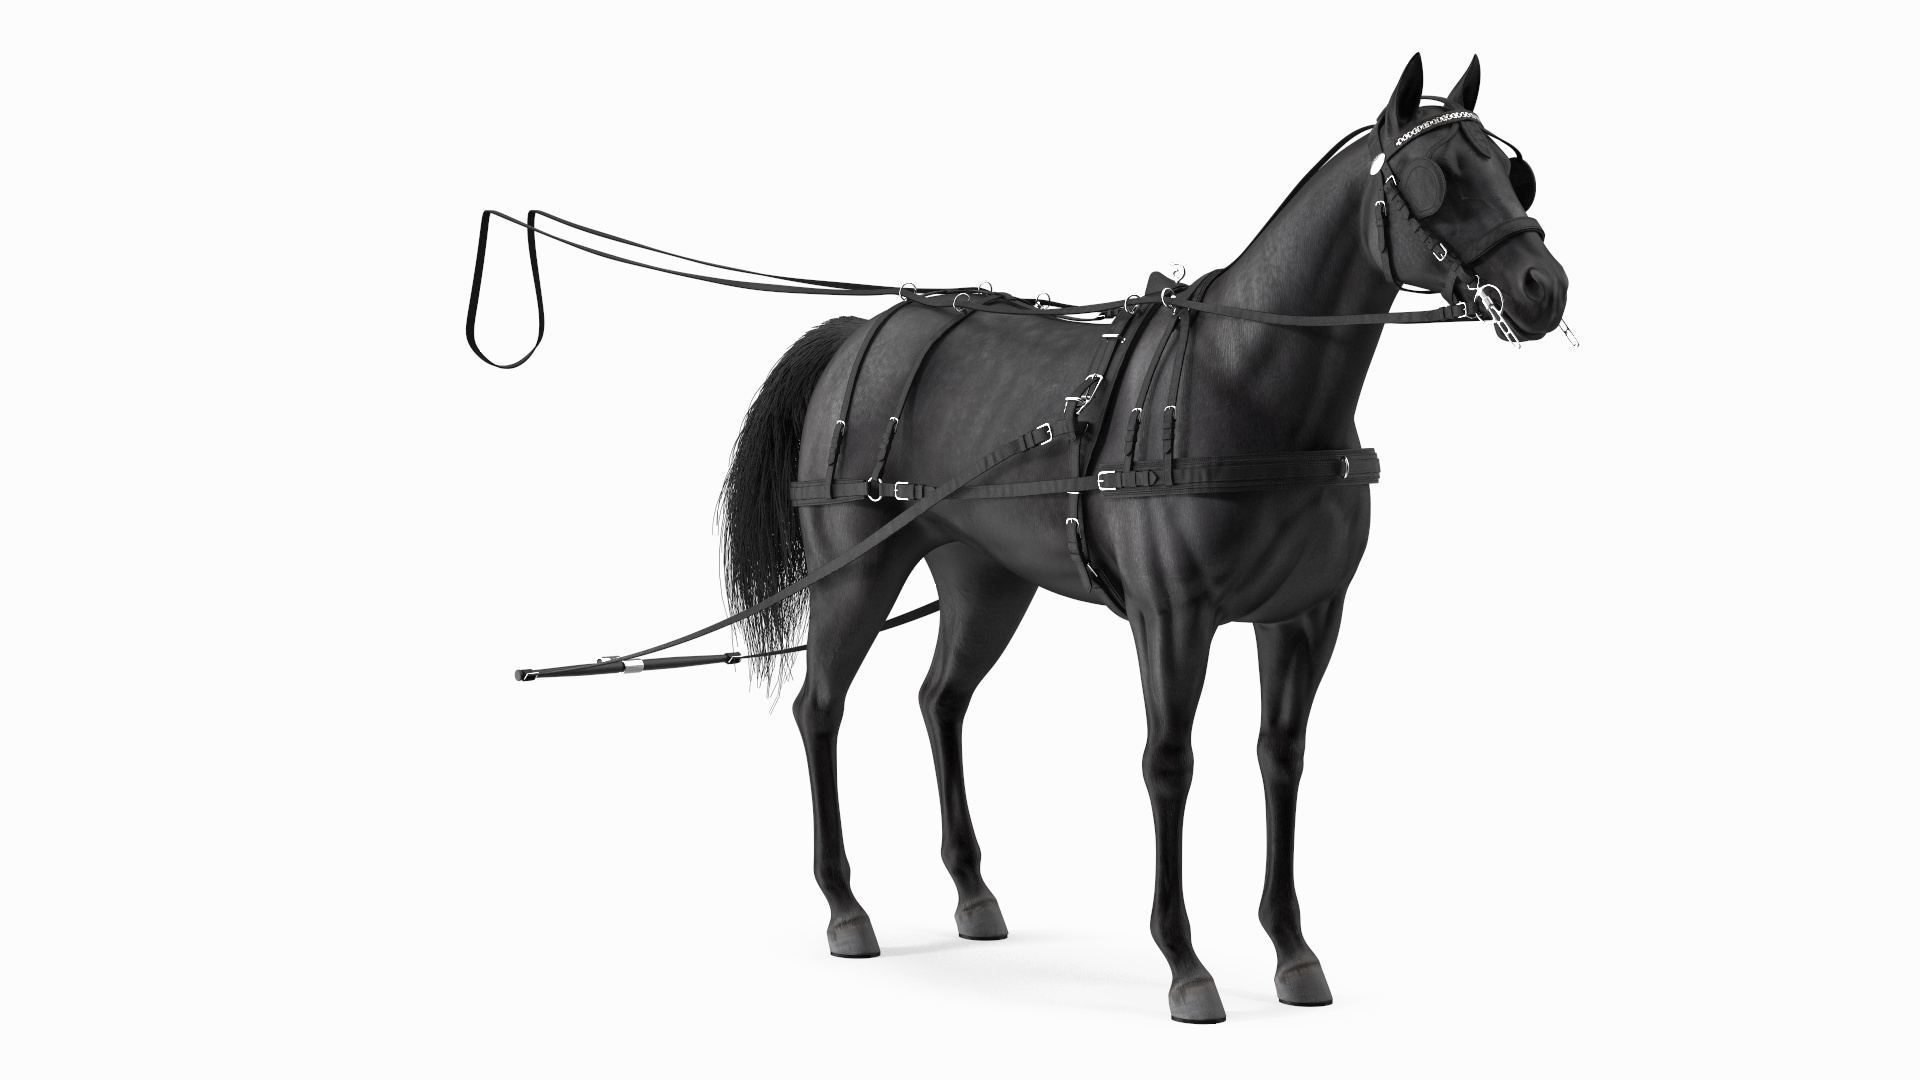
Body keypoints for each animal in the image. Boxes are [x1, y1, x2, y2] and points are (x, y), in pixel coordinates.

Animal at [700, 53, 1568, 1024]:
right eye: (1434, 180)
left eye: (1512, 174)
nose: (1544, 289)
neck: (1248, 386)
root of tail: (863, 330)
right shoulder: (1173, 616)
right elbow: (1169, 765)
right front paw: (1185, 964)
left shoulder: (1306, 616)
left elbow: (1282, 759)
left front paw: (1292, 952)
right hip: (858, 572)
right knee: (821, 709)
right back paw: (845, 907)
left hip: (985, 578)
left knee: (941, 700)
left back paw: (973, 893)